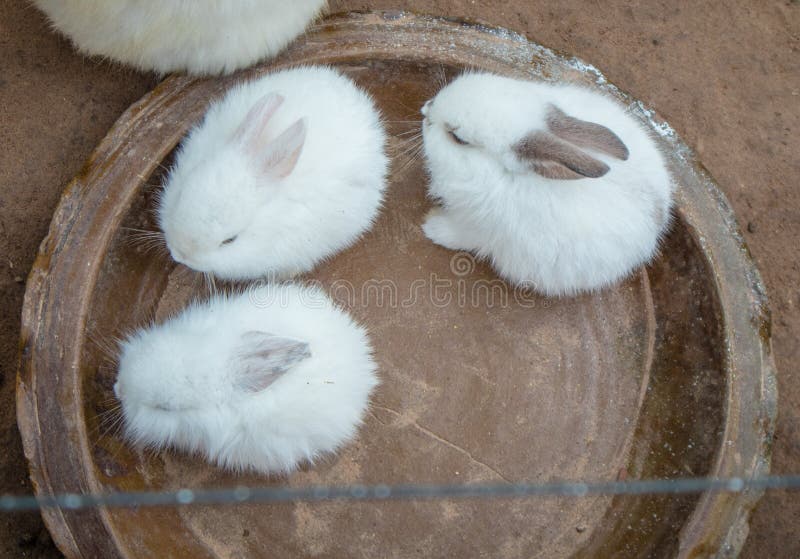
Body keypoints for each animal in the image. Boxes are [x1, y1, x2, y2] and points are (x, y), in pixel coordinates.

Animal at [420, 72, 674, 296]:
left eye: (458, 139)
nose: (426, 111)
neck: (500, 176)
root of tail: (661, 211)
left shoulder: (478, 227)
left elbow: (459, 235)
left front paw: (431, 226)